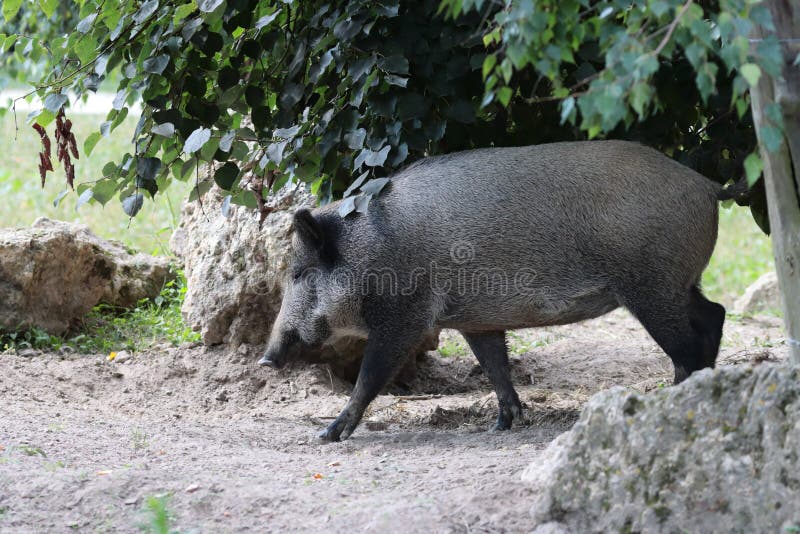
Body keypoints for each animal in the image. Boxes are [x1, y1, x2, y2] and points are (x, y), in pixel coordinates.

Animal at [259, 140, 732, 442]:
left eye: (300, 273)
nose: (266, 358)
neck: (372, 252)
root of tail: (709, 185)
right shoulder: (475, 319)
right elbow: (494, 367)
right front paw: (502, 425)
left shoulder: (404, 317)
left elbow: (369, 376)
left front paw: (327, 436)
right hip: (678, 283)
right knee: (715, 313)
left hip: (651, 286)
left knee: (687, 344)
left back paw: (674, 397)